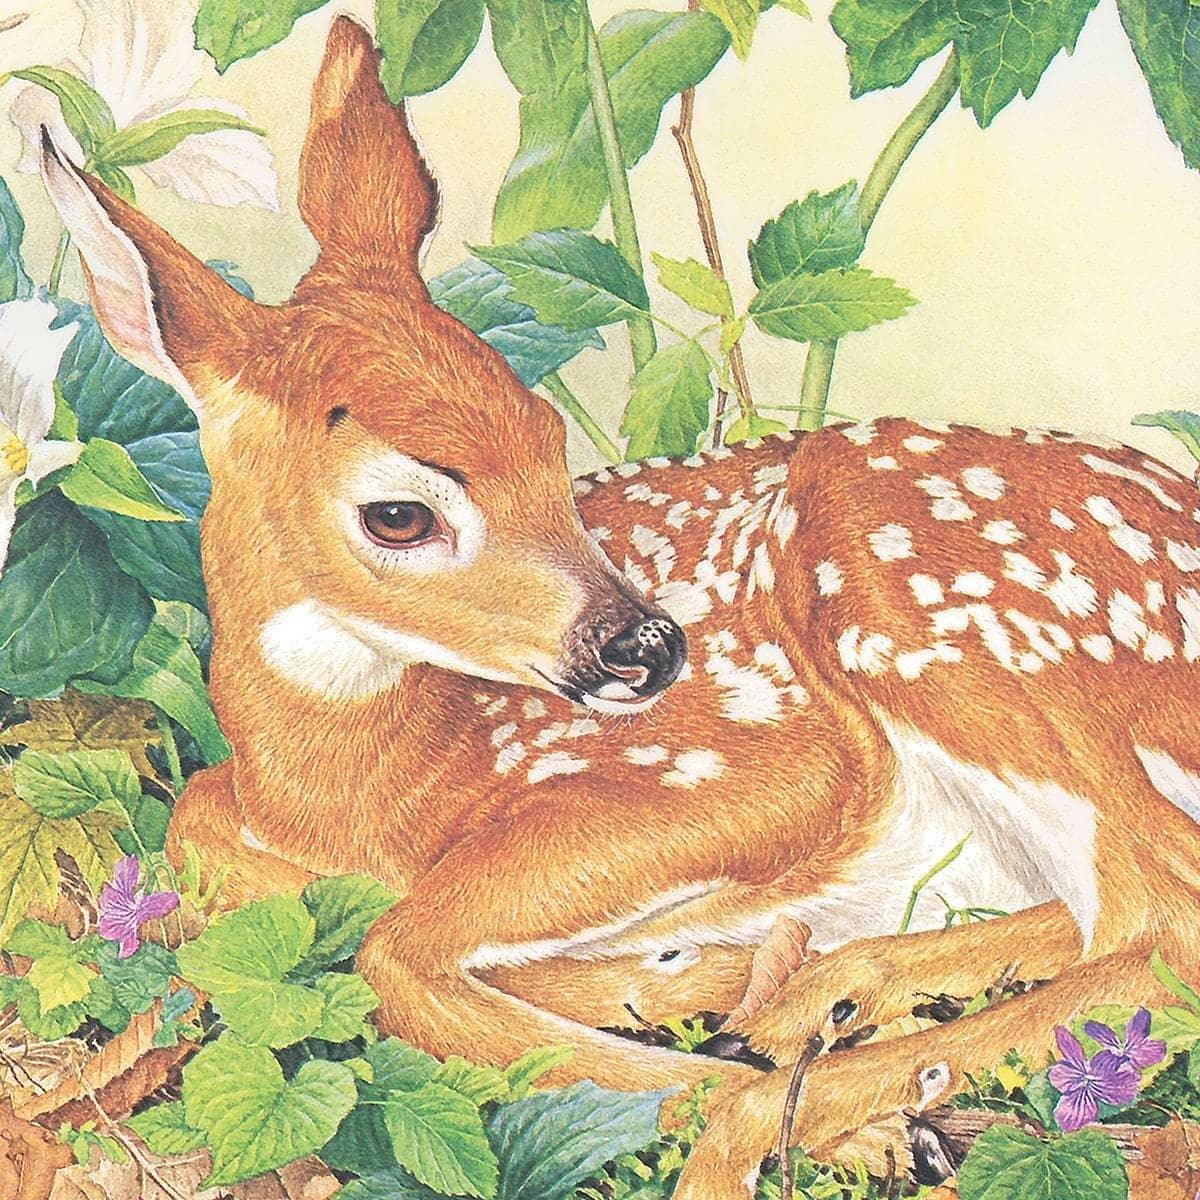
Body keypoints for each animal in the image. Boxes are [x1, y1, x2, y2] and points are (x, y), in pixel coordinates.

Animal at [38, 13, 1200, 1196]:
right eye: (399, 515)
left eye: (549, 439)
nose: (649, 643)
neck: (352, 800)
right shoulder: (230, 829)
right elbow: (222, 846)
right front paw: (731, 995)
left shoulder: (741, 770)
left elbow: (394, 949)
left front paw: (808, 1091)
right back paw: (814, 1007)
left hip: (926, 611)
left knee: (1159, 923)